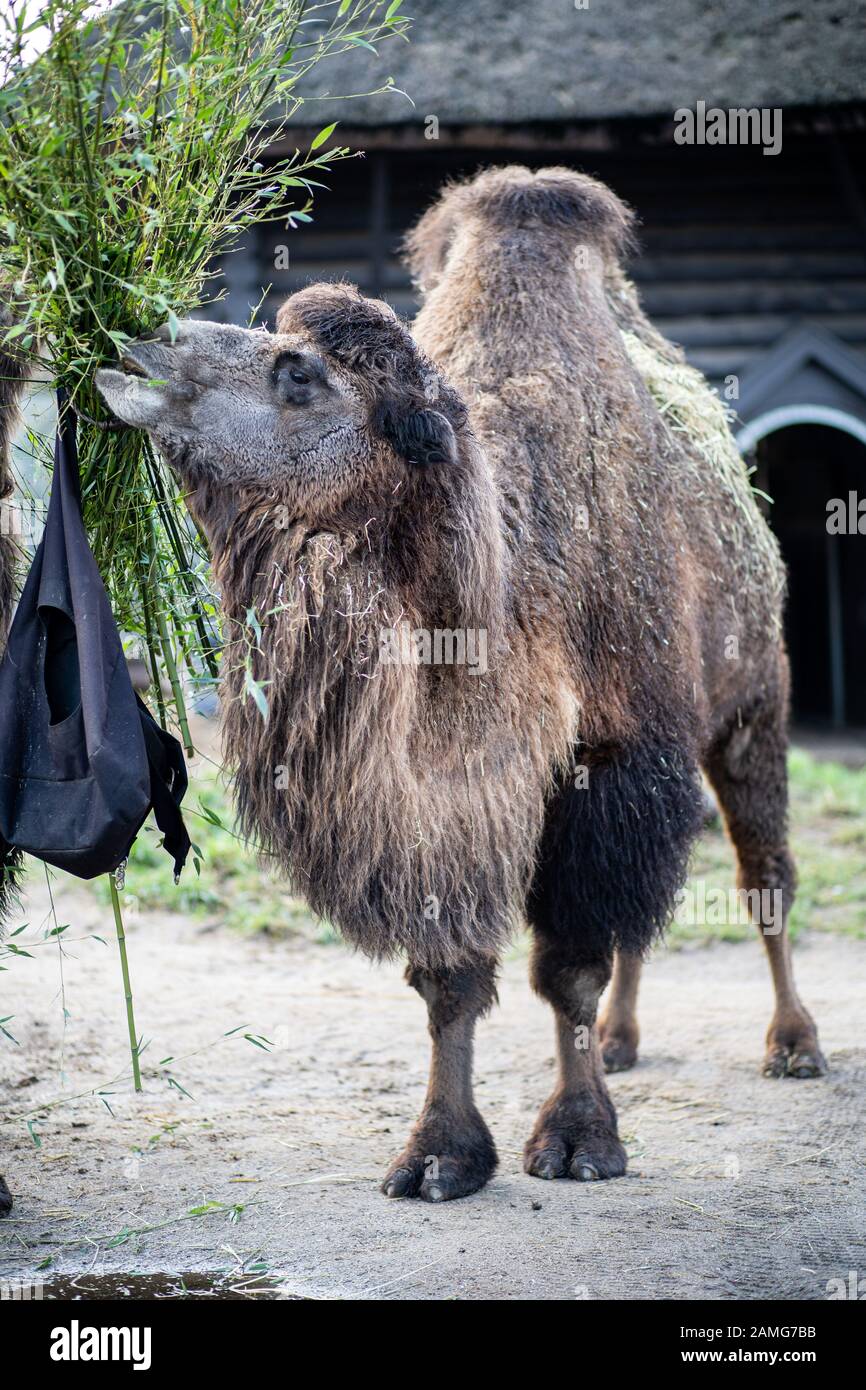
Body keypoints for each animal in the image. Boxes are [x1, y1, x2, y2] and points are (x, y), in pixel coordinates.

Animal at [0, 163, 811, 1207]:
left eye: (297, 373)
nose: (133, 337)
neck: (496, 605)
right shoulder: (442, 804)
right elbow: (449, 980)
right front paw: (440, 1152)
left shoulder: (613, 757)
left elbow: (570, 966)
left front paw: (580, 1139)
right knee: (653, 911)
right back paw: (627, 1042)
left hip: (753, 702)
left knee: (760, 875)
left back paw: (793, 1045)